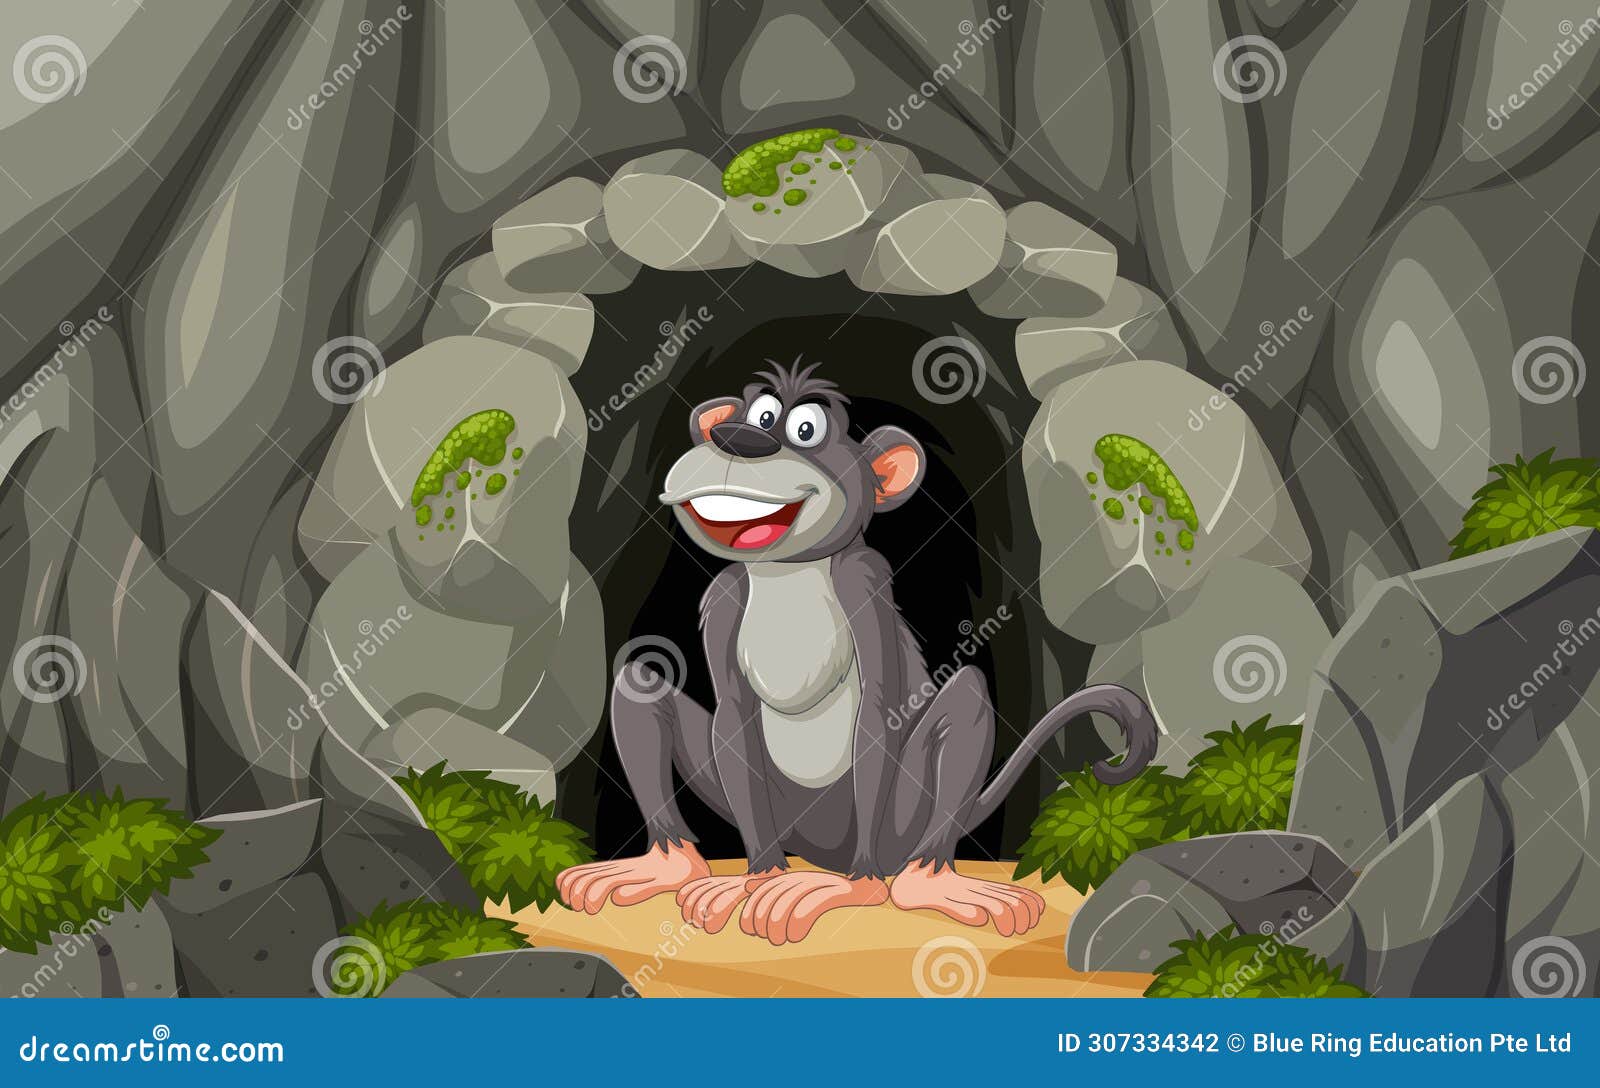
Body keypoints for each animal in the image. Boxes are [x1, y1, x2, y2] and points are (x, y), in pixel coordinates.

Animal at [556, 360, 1158, 944]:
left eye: (805, 430)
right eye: (760, 414)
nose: (738, 439)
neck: (786, 573)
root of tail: (820, 852)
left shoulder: (865, 584)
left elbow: (877, 712)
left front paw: (856, 889)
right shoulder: (725, 598)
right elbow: (730, 717)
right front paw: (756, 878)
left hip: (900, 823)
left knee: (965, 693)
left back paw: (920, 879)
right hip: (783, 813)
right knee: (639, 682)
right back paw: (672, 863)